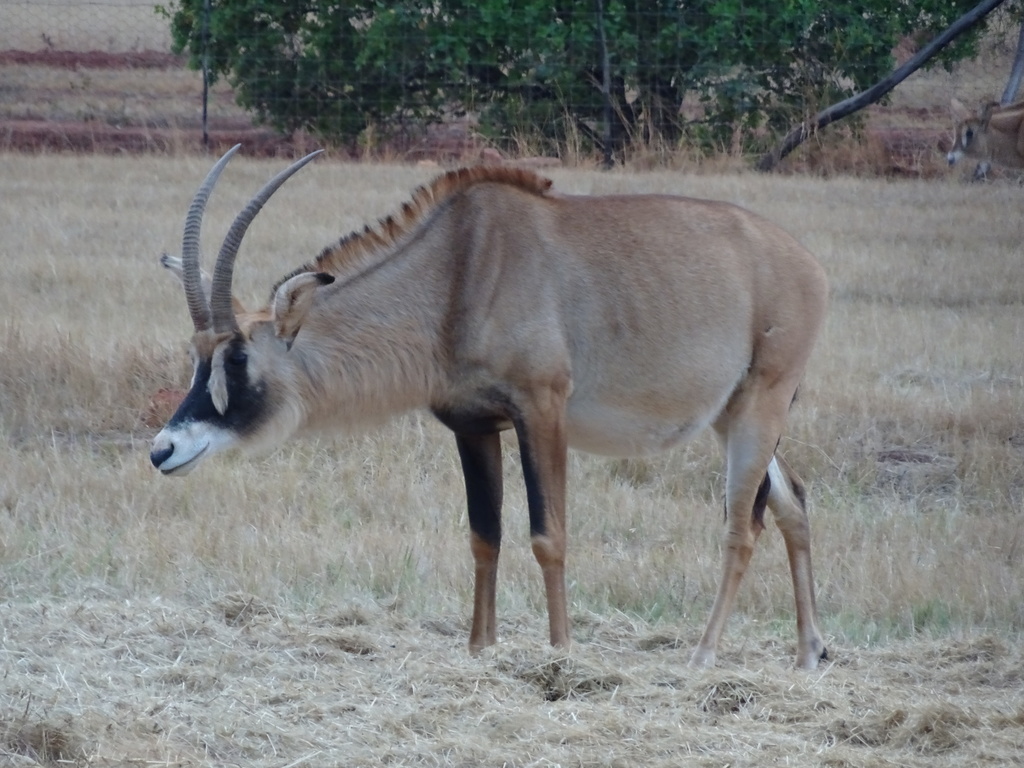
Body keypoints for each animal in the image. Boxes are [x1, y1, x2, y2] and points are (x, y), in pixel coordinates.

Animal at [151, 145, 829, 669]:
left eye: (238, 358)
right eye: (198, 355)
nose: (164, 449)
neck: (458, 269)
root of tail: (806, 262)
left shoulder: (542, 410)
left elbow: (548, 535)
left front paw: (560, 652)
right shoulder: (473, 426)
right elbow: (485, 536)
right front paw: (481, 649)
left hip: (760, 406)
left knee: (742, 526)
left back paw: (703, 656)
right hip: (731, 416)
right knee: (792, 500)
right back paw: (807, 654)